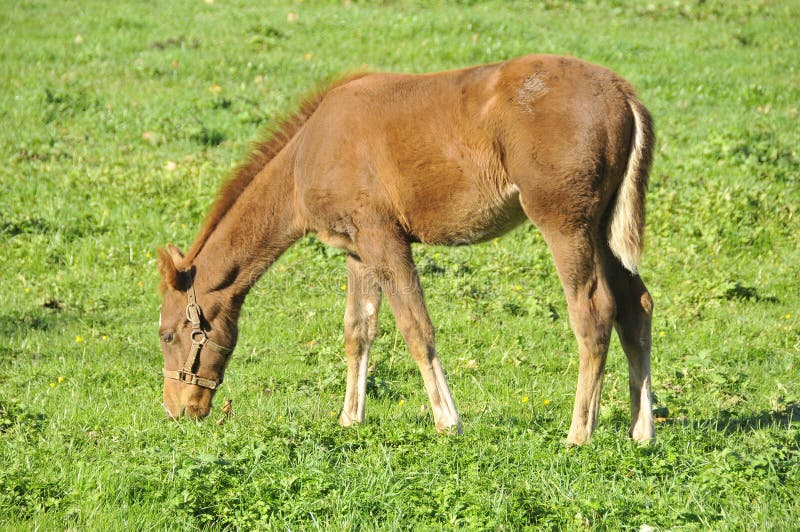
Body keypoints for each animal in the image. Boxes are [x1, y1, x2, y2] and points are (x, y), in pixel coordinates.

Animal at [157, 54, 655, 445]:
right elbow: (358, 331)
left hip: (567, 225)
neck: (307, 152)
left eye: (167, 335)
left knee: (594, 312)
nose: (178, 409)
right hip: (605, 231)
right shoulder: (358, 250)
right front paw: (350, 419)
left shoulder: (383, 237)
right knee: (637, 307)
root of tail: (623, 95)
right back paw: (642, 429)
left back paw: (579, 434)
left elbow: (416, 327)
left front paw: (448, 422)